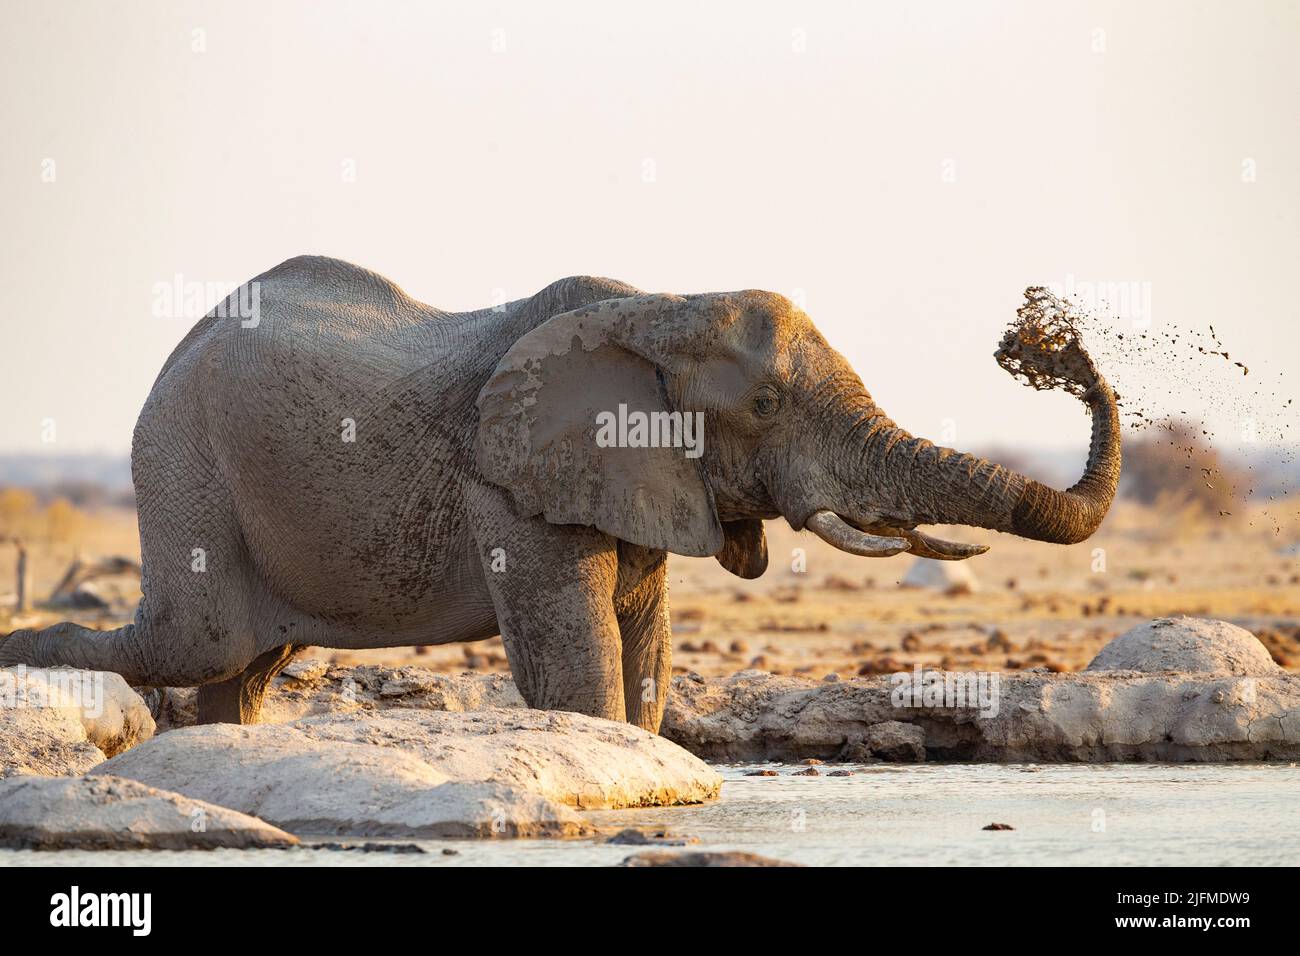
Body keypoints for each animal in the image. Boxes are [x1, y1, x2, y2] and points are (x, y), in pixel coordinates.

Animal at [0, 256, 1121, 731]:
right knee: (200, 641)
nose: (1047, 344)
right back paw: (32, 661)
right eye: (764, 404)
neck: (663, 301)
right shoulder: (509, 486)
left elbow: (643, 655)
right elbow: (582, 672)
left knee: (240, 664)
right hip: (177, 455)